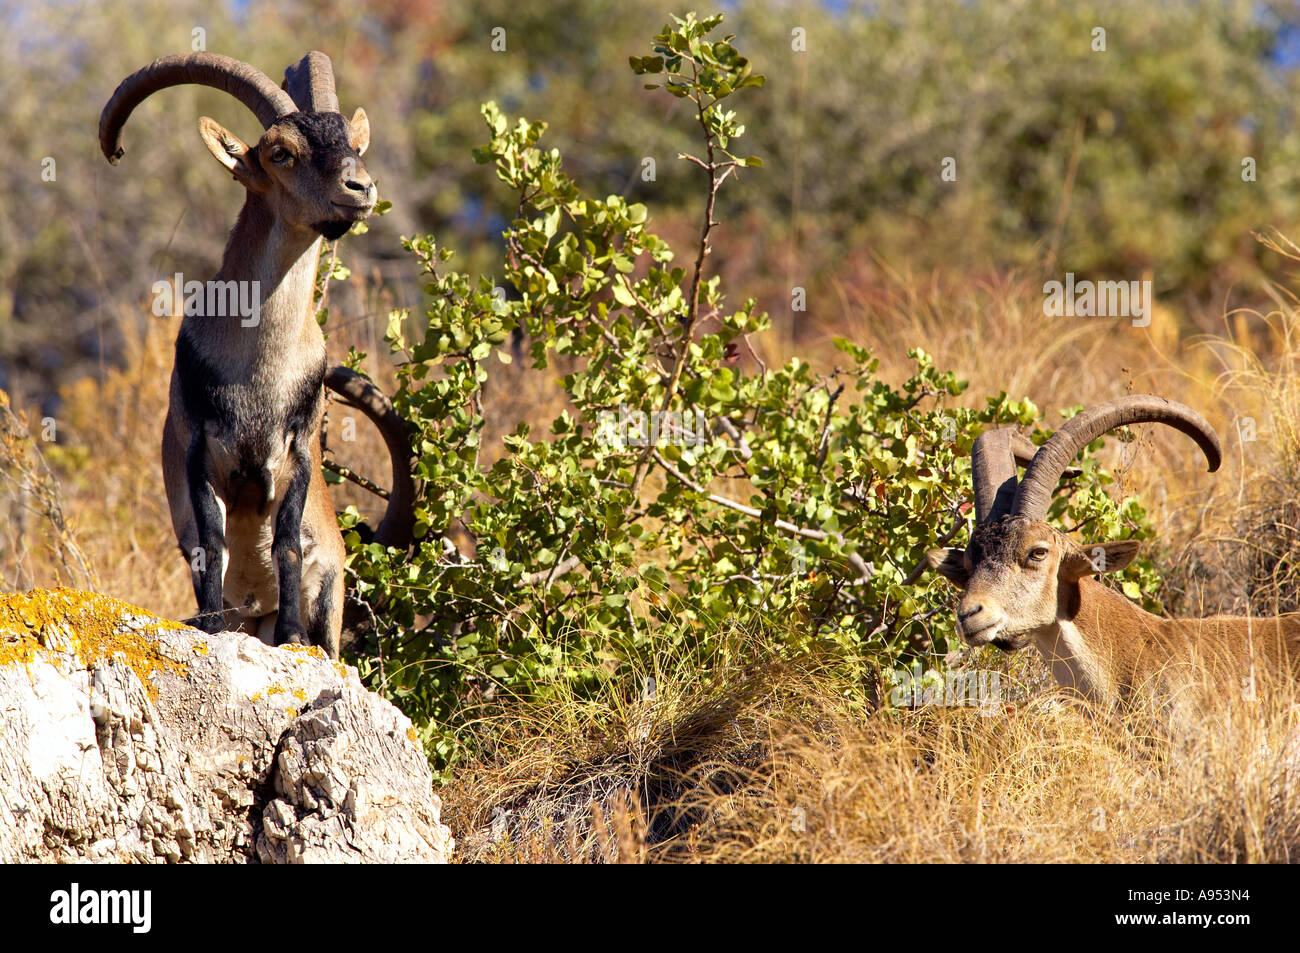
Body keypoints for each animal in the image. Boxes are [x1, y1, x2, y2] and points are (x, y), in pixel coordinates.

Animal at [99, 52, 413, 657]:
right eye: (280, 153)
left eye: (353, 142)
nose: (360, 187)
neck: (258, 376)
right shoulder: (200, 450)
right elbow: (211, 543)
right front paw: (208, 625)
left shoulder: (296, 454)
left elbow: (286, 542)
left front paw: (291, 637)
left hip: (331, 591)